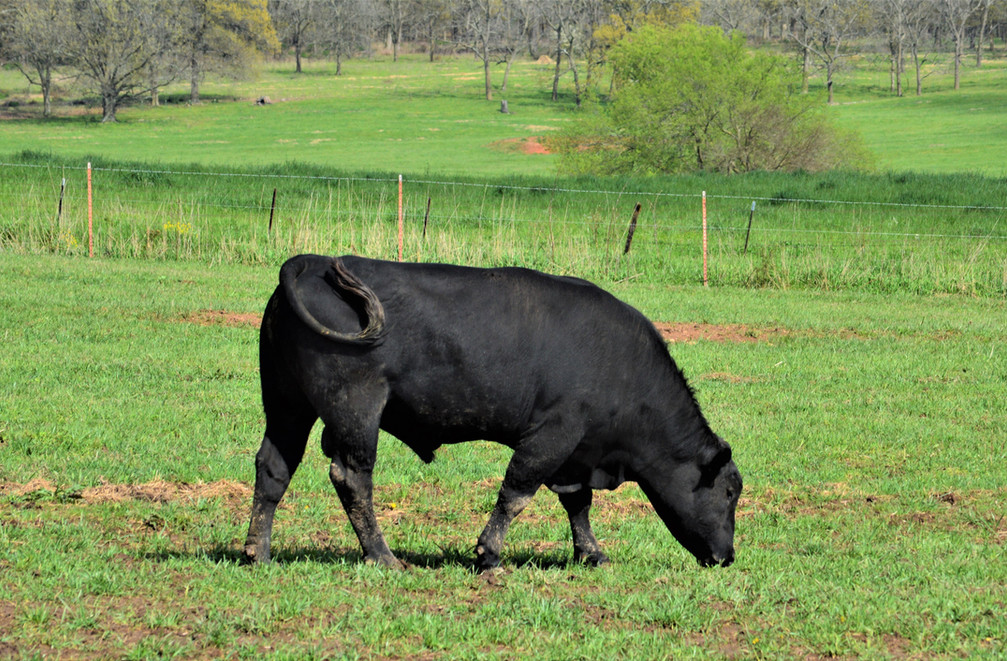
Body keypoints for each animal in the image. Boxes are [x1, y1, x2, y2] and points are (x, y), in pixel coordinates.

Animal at [243, 254, 742, 571]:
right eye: (730, 492)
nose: (727, 557)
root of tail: (313, 261)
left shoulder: (576, 452)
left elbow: (577, 502)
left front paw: (590, 553)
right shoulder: (553, 433)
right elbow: (517, 492)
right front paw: (489, 554)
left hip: (286, 406)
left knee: (274, 468)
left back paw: (257, 552)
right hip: (356, 408)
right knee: (352, 477)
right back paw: (383, 557)